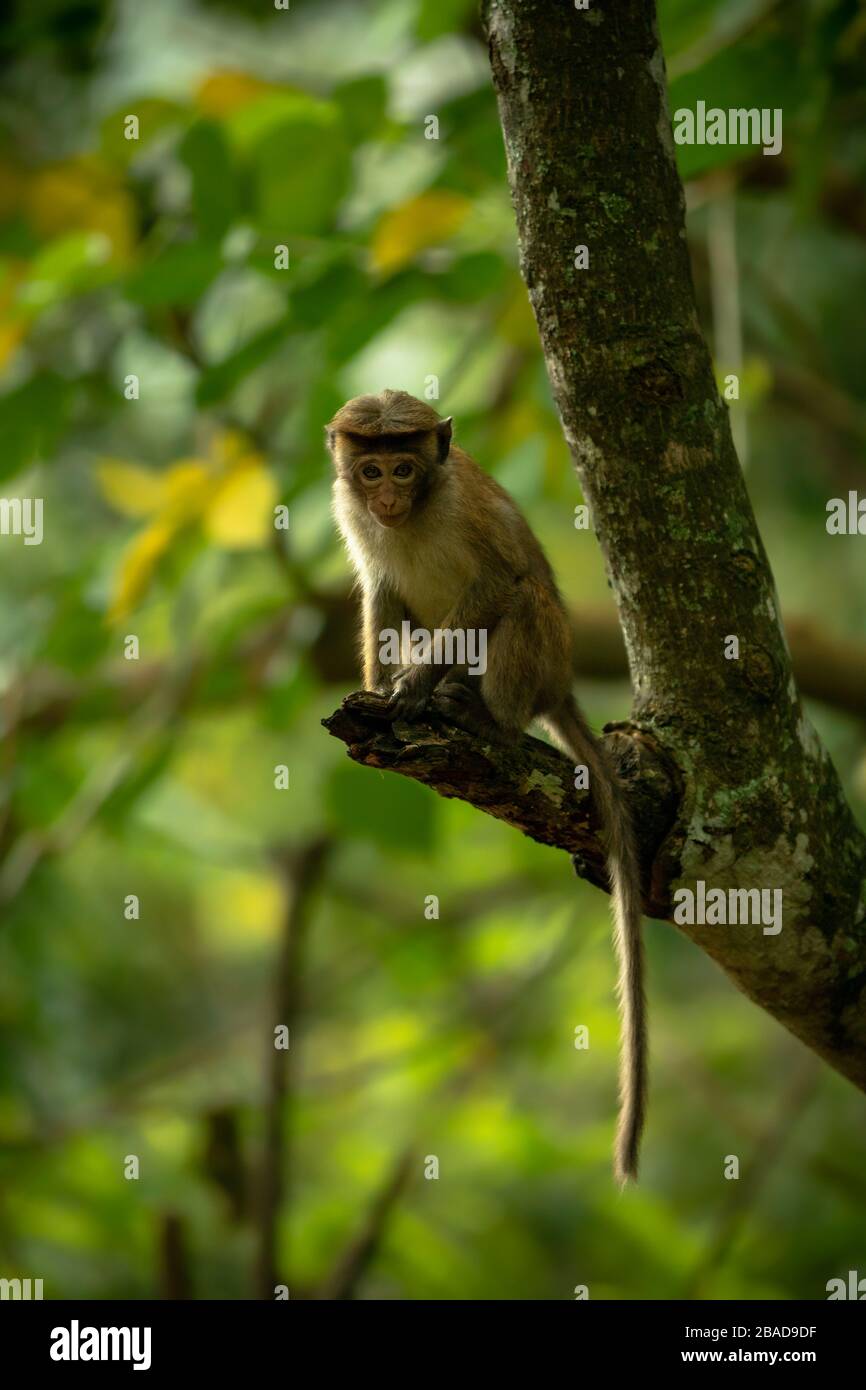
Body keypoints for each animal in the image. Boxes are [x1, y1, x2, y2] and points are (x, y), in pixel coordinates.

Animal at [326, 389, 647, 1184]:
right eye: (370, 469)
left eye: (405, 469)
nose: (386, 497)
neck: (418, 511)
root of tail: (560, 685)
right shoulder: (352, 517)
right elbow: (379, 591)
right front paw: (380, 684)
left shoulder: (462, 511)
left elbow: (500, 582)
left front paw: (414, 685)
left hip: (543, 654)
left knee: (526, 597)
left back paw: (482, 715)